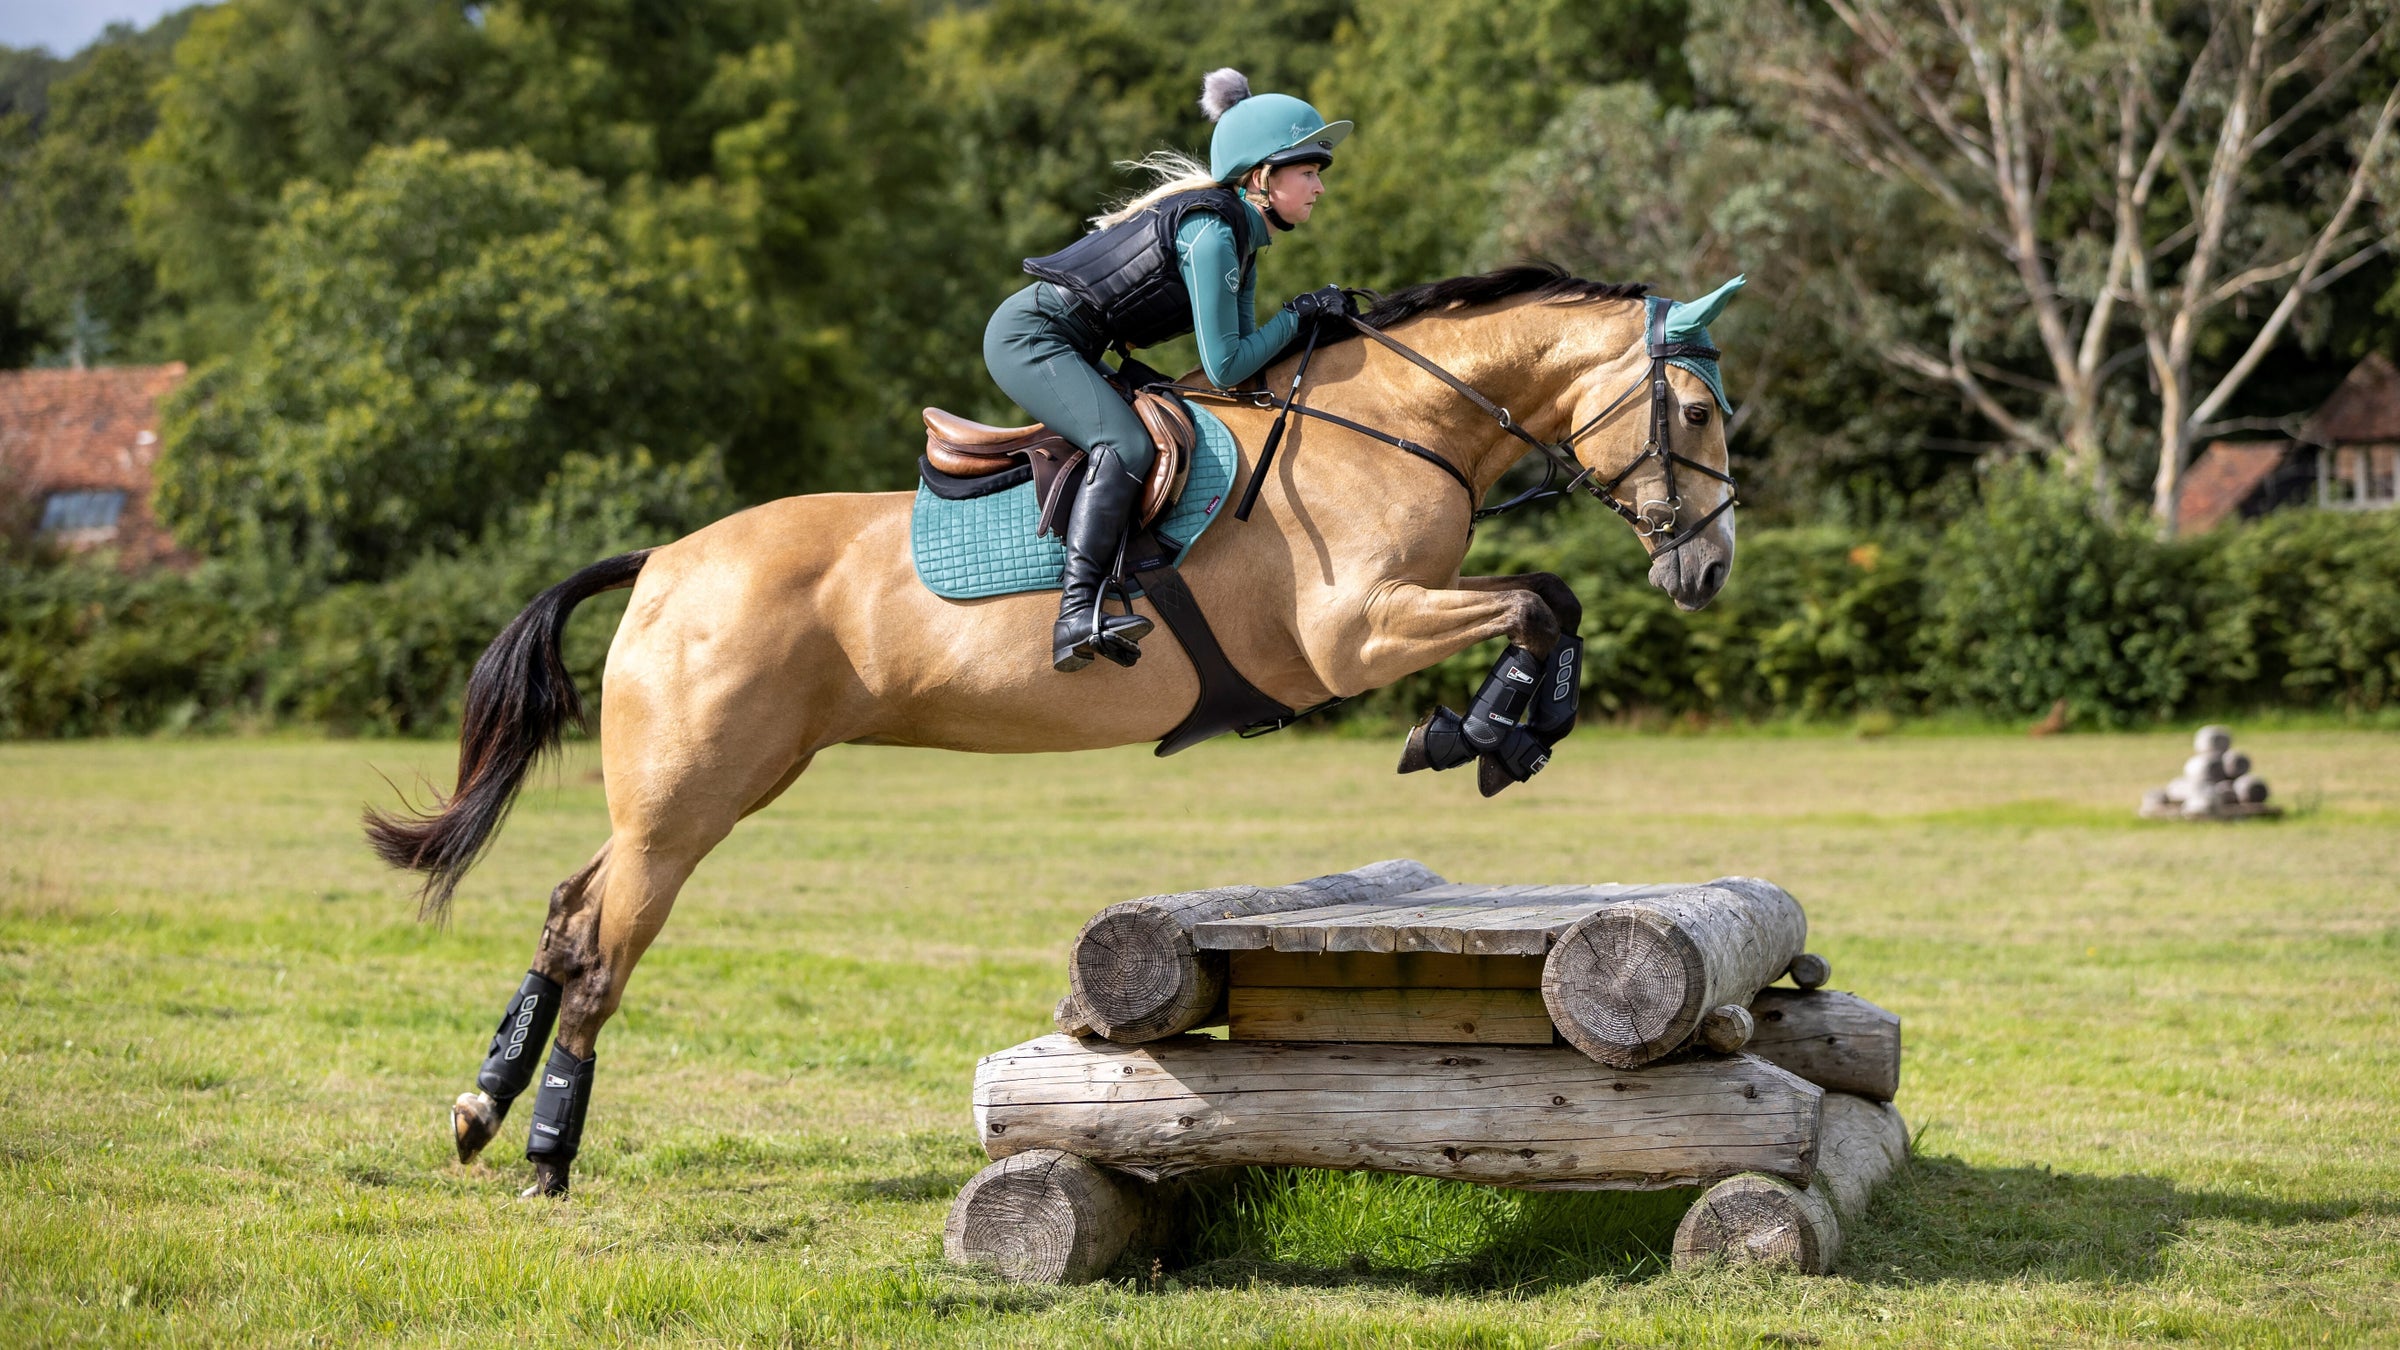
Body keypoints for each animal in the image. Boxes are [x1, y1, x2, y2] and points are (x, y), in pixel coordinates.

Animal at [368, 264, 1744, 1197]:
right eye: (1694, 413)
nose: (1710, 572)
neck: (1394, 425)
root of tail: (660, 560)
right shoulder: (1352, 636)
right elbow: (1540, 601)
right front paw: (1488, 731)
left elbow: (1549, 602)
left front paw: (1510, 730)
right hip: (689, 802)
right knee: (605, 947)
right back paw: (548, 1153)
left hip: (699, 789)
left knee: (567, 911)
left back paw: (481, 1111)